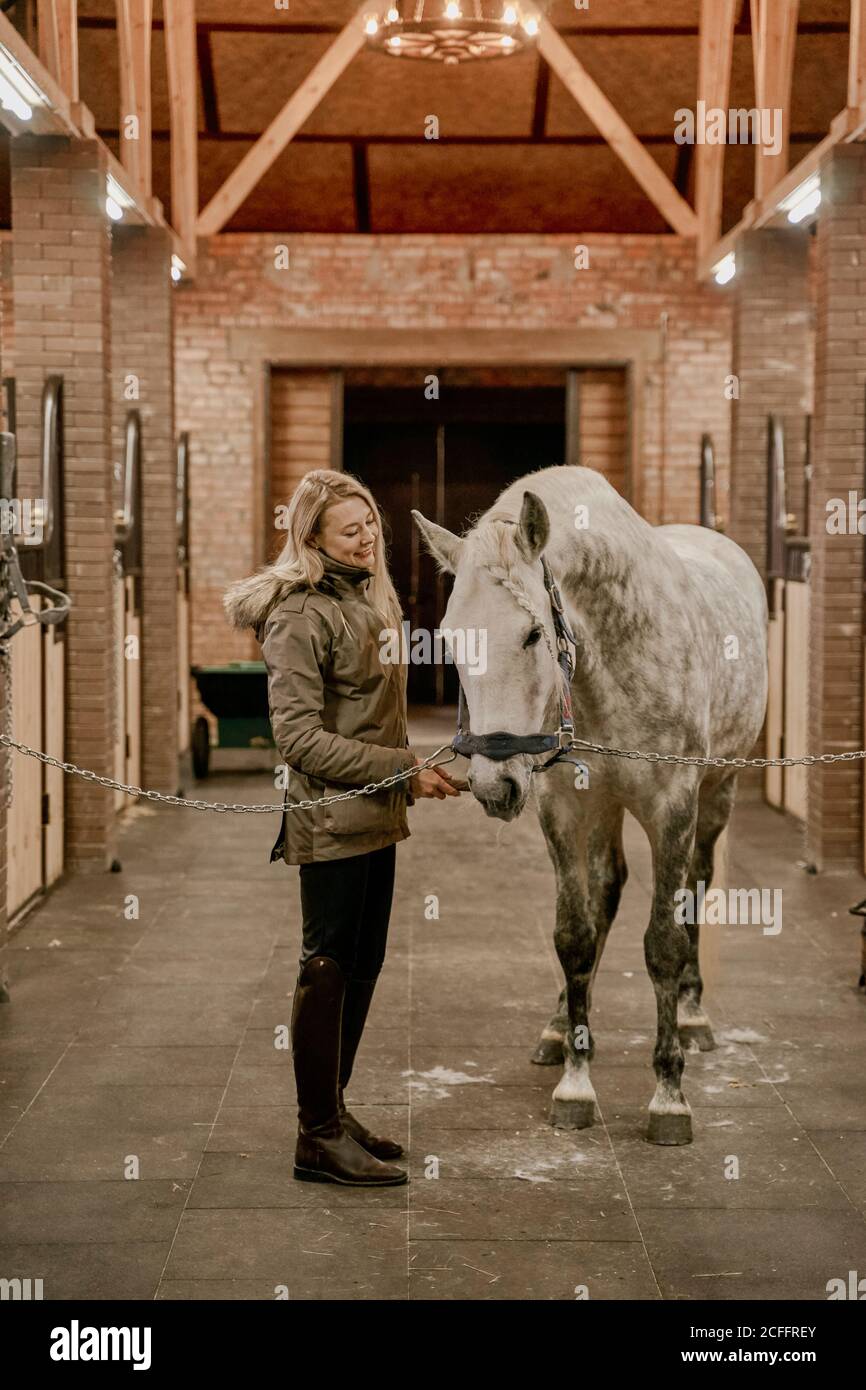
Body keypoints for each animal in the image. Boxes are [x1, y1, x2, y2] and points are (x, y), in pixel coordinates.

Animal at [412, 465, 768, 1145]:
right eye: (451, 641)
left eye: (532, 634)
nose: (493, 785)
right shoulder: (566, 809)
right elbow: (574, 934)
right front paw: (575, 1082)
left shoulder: (672, 809)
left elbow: (663, 942)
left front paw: (668, 1095)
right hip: (604, 809)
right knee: (604, 892)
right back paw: (559, 1027)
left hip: (720, 793)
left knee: (697, 886)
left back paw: (692, 1014)